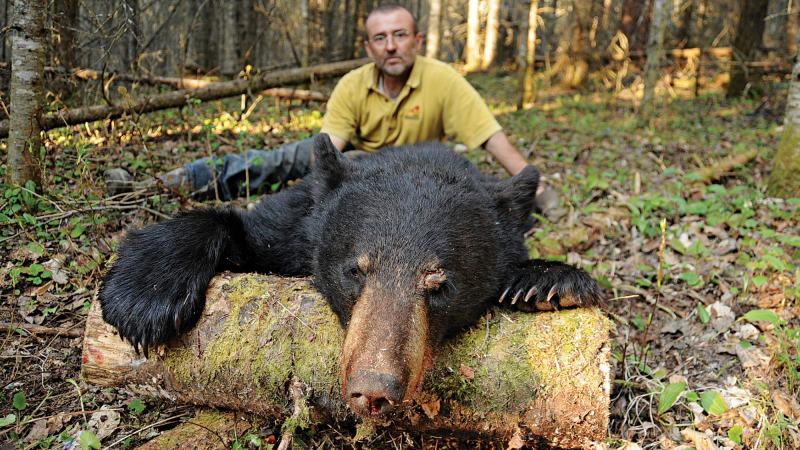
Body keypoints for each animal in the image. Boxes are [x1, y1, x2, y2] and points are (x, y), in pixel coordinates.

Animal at [99, 134, 603, 417]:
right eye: (355, 270)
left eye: (440, 283)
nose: (375, 389)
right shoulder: (297, 225)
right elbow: (244, 230)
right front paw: (144, 295)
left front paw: (547, 281)